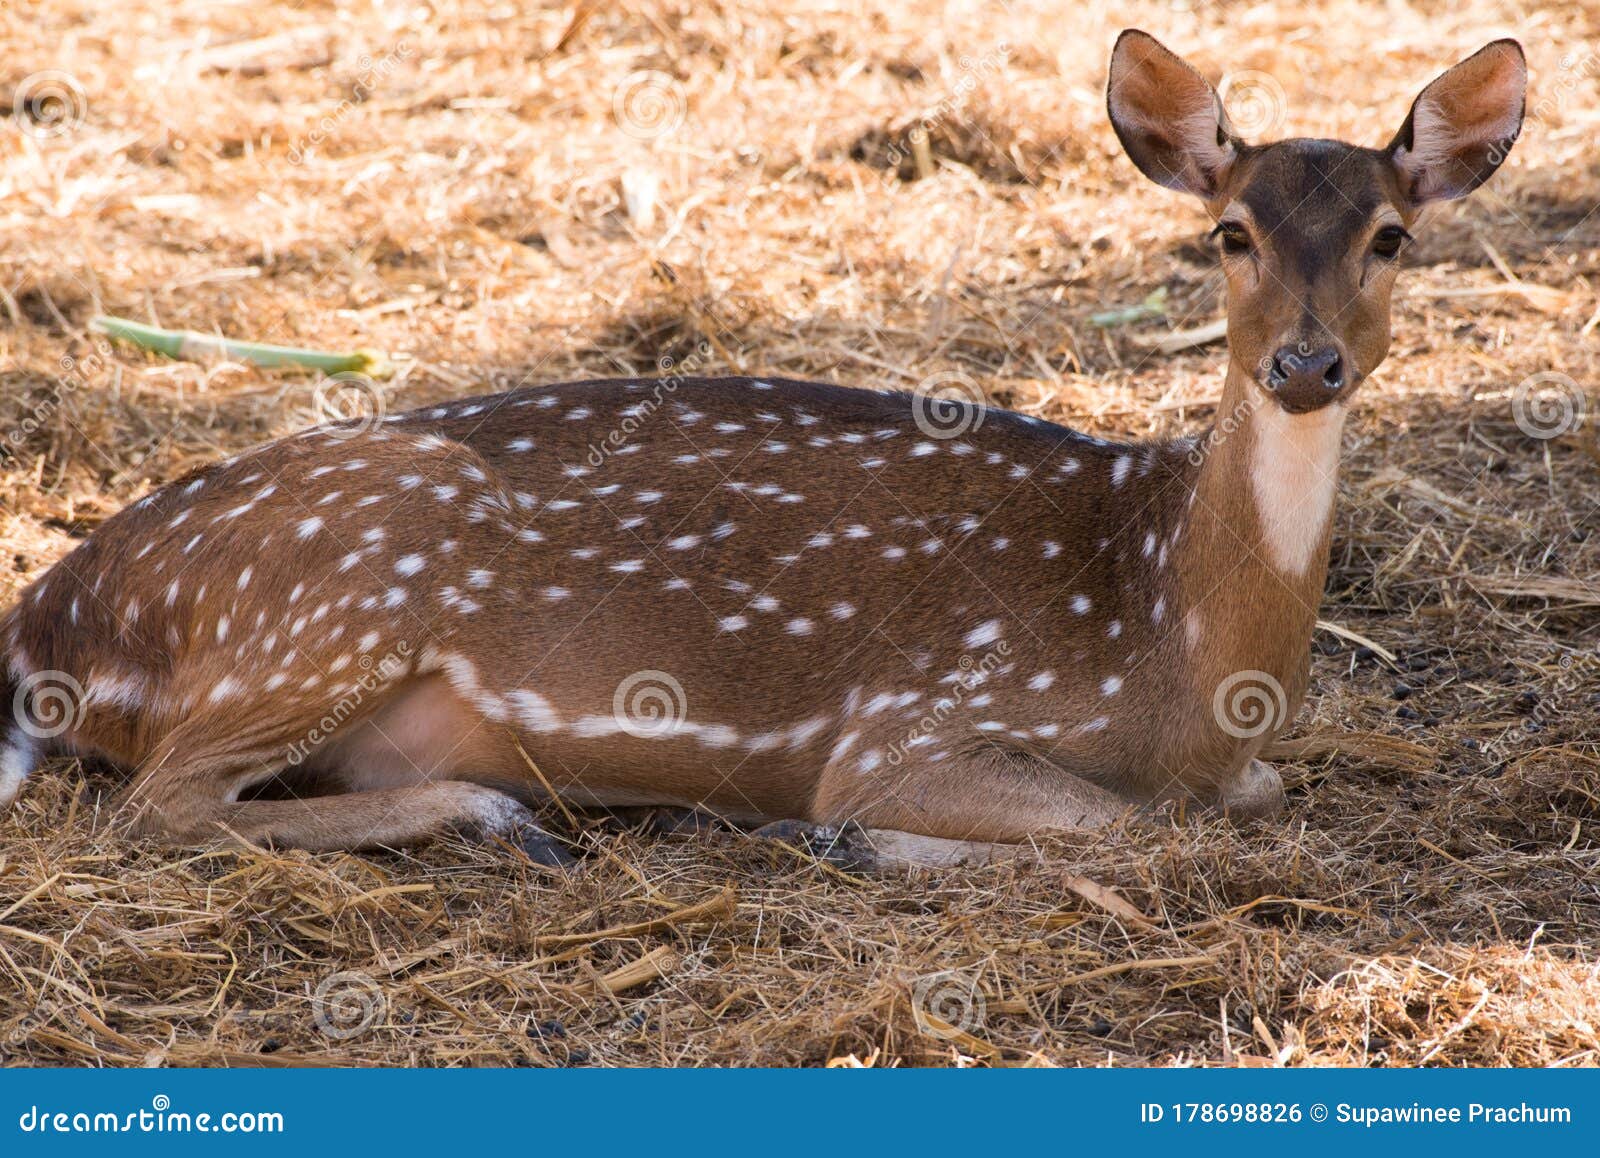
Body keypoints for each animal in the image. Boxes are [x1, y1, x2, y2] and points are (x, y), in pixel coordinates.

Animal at [0, 31, 1525, 871]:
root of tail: (51, 620)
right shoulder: (908, 721)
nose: (1306, 364)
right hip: (331, 594)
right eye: (1229, 233)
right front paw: (839, 836)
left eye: (1394, 236)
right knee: (158, 804)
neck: (1186, 646)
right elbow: (1130, 826)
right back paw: (501, 815)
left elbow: (1237, 801)